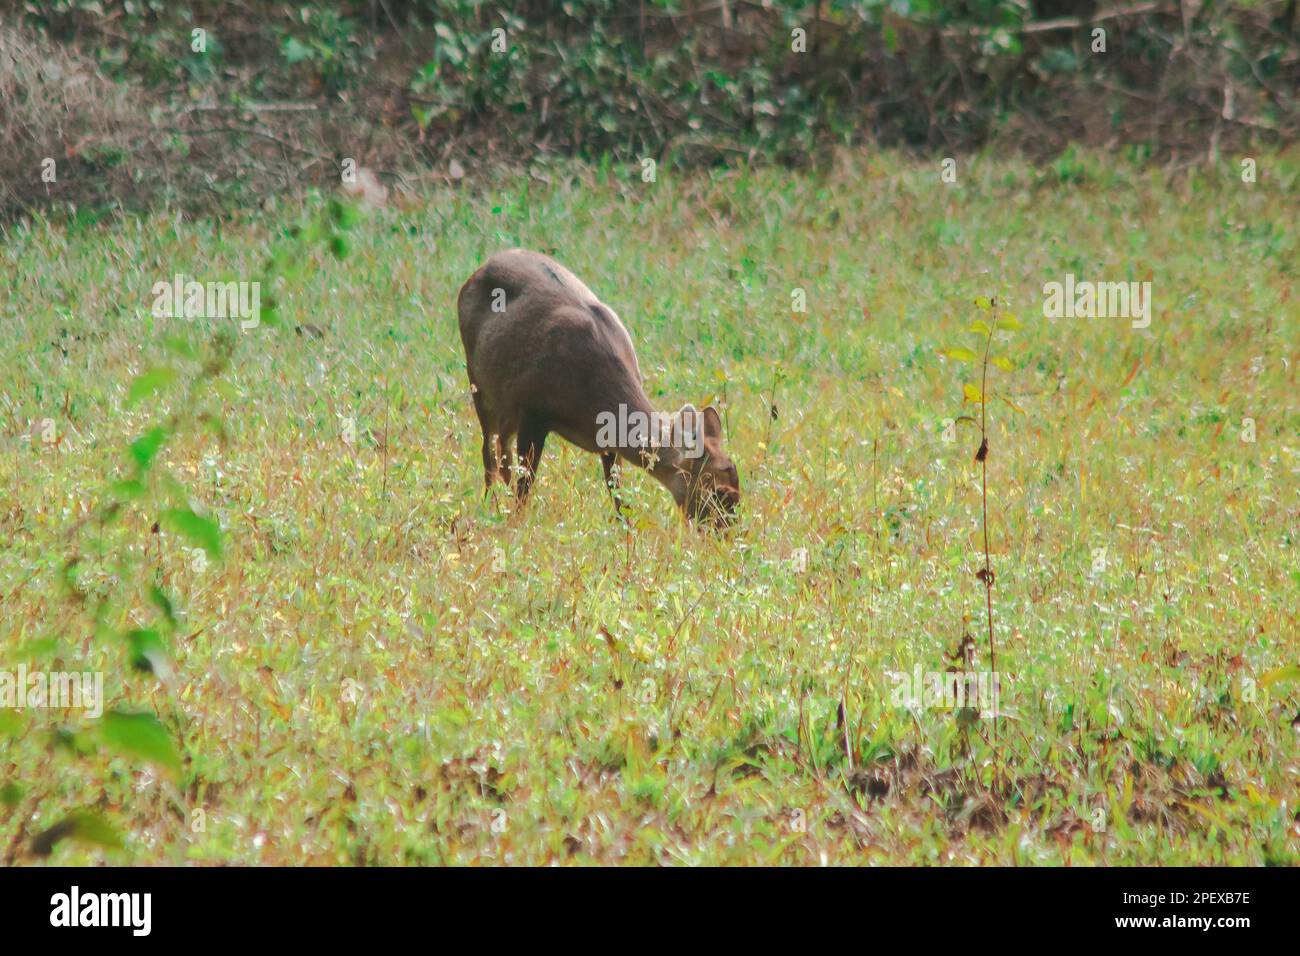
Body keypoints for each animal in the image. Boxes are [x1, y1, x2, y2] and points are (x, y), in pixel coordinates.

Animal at [457, 249, 740, 528]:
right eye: (719, 492)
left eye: (738, 485)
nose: (728, 533)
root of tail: (479, 269)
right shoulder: (532, 410)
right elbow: (525, 482)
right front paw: (516, 522)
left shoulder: (606, 438)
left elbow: (616, 488)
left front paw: (625, 527)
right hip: (478, 382)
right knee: (489, 452)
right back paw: (490, 504)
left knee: (501, 450)